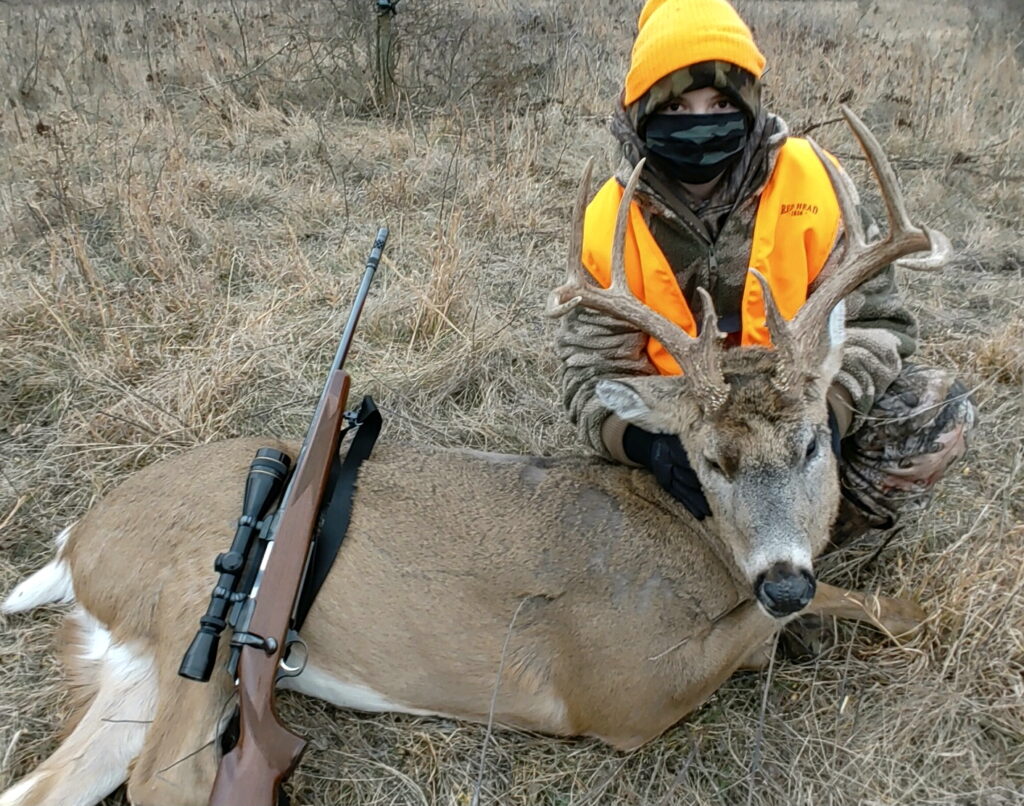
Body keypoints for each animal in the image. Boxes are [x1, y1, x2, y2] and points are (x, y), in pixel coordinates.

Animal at [0, 108, 949, 806]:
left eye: (814, 441)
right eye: (707, 460)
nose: (782, 577)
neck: (695, 545)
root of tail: (78, 541)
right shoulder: (623, 689)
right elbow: (777, 625)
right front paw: (889, 613)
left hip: (136, 660)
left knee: (49, 785)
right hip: (192, 608)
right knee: (171, 776)